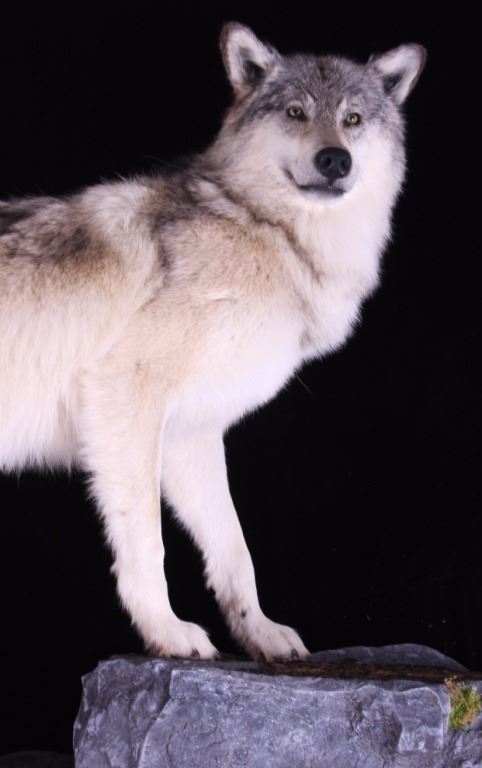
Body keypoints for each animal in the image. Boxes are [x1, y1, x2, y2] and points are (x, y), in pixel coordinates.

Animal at [0, 23, 425, 660]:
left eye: (352, 119)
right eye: (296, 113)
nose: (334, 160)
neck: (267, 232)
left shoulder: (190, 433)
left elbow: (235, 549)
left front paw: (261, 634)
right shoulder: (125, 394)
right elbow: (147, 541)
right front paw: (167, 632)